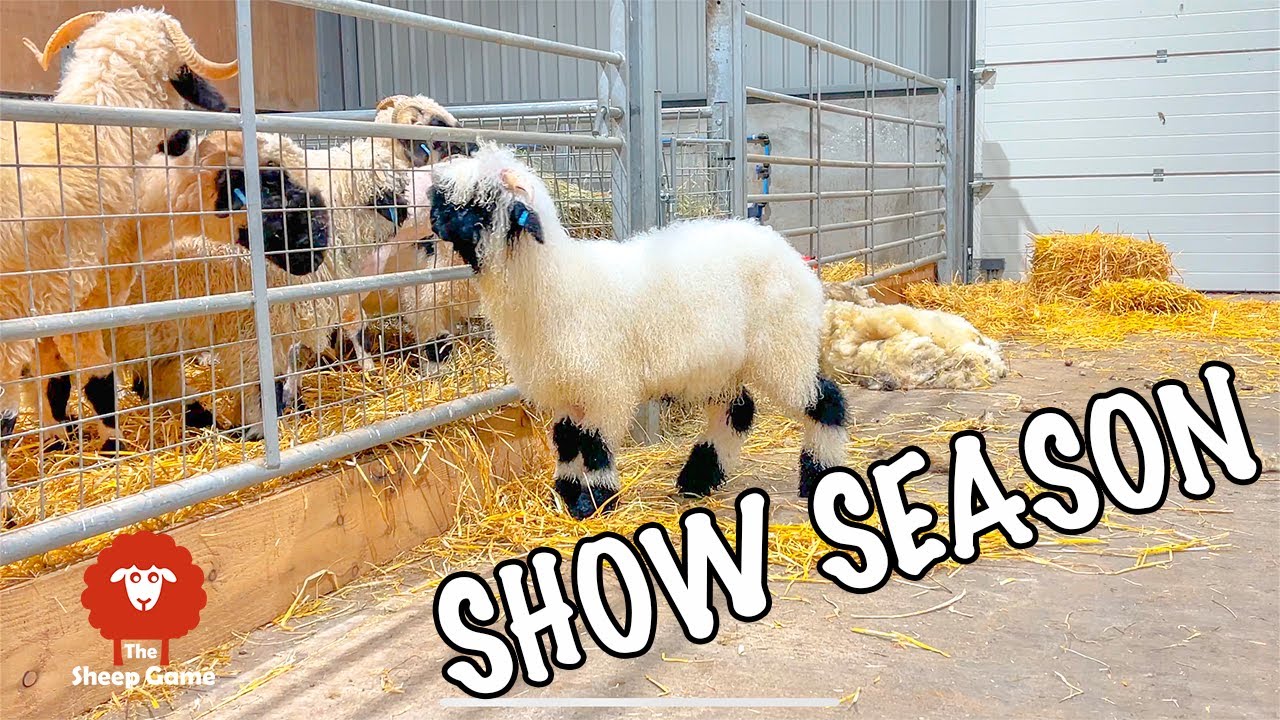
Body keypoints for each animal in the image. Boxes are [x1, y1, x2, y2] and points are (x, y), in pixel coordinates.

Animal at [428, 145, 849, 519]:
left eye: (482, 203)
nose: (432, 210)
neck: (559, 284)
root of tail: (784, 249)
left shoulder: (605, 386)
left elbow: (593, 445)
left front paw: (595, 501)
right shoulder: (563, 386)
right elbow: (566, 440)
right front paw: (565, 494)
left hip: (783, 346)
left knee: (824, 401)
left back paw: (817, 475)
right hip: (722, 364)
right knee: (737, 411)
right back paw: (697, 479)